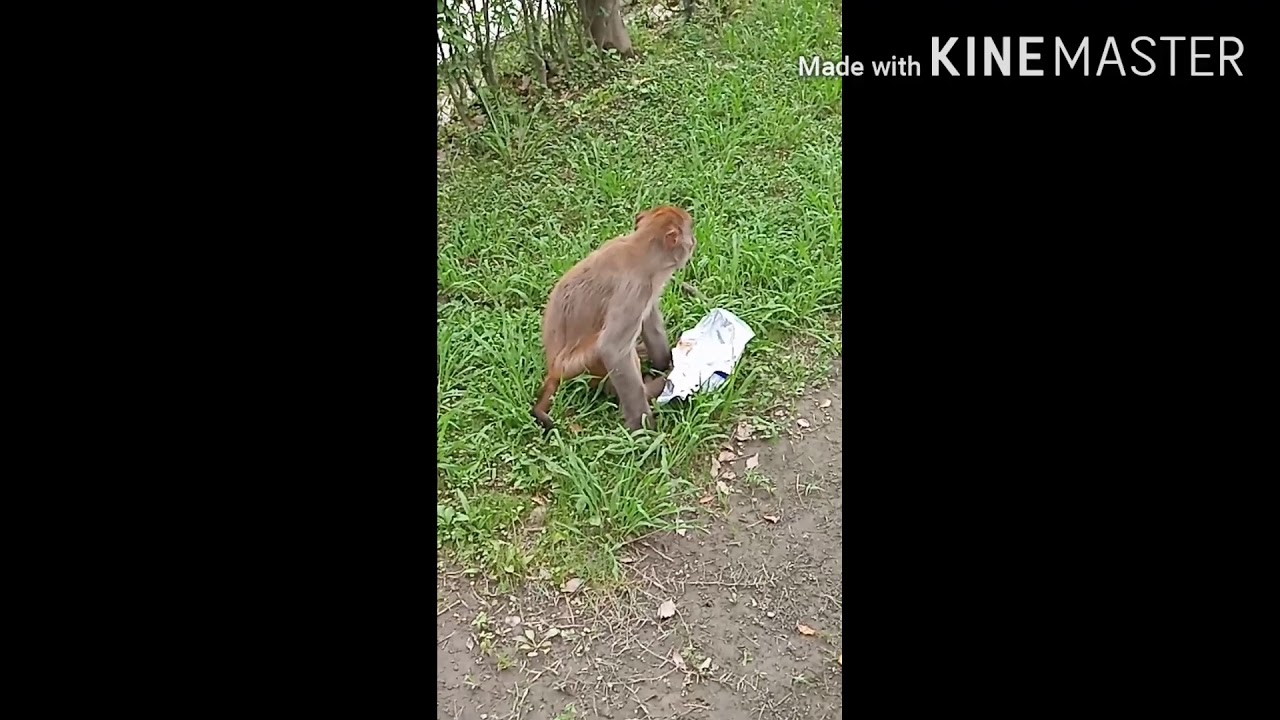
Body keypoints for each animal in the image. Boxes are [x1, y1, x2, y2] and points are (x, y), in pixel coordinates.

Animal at [532, 205, 697, 432]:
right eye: (690, 232)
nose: (694, 241)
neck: (640, 250)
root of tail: (553, 369)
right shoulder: (635, 289)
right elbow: (612, 348)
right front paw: (643, 427)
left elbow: (649, 322)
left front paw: (664, 362)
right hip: (577, 367)